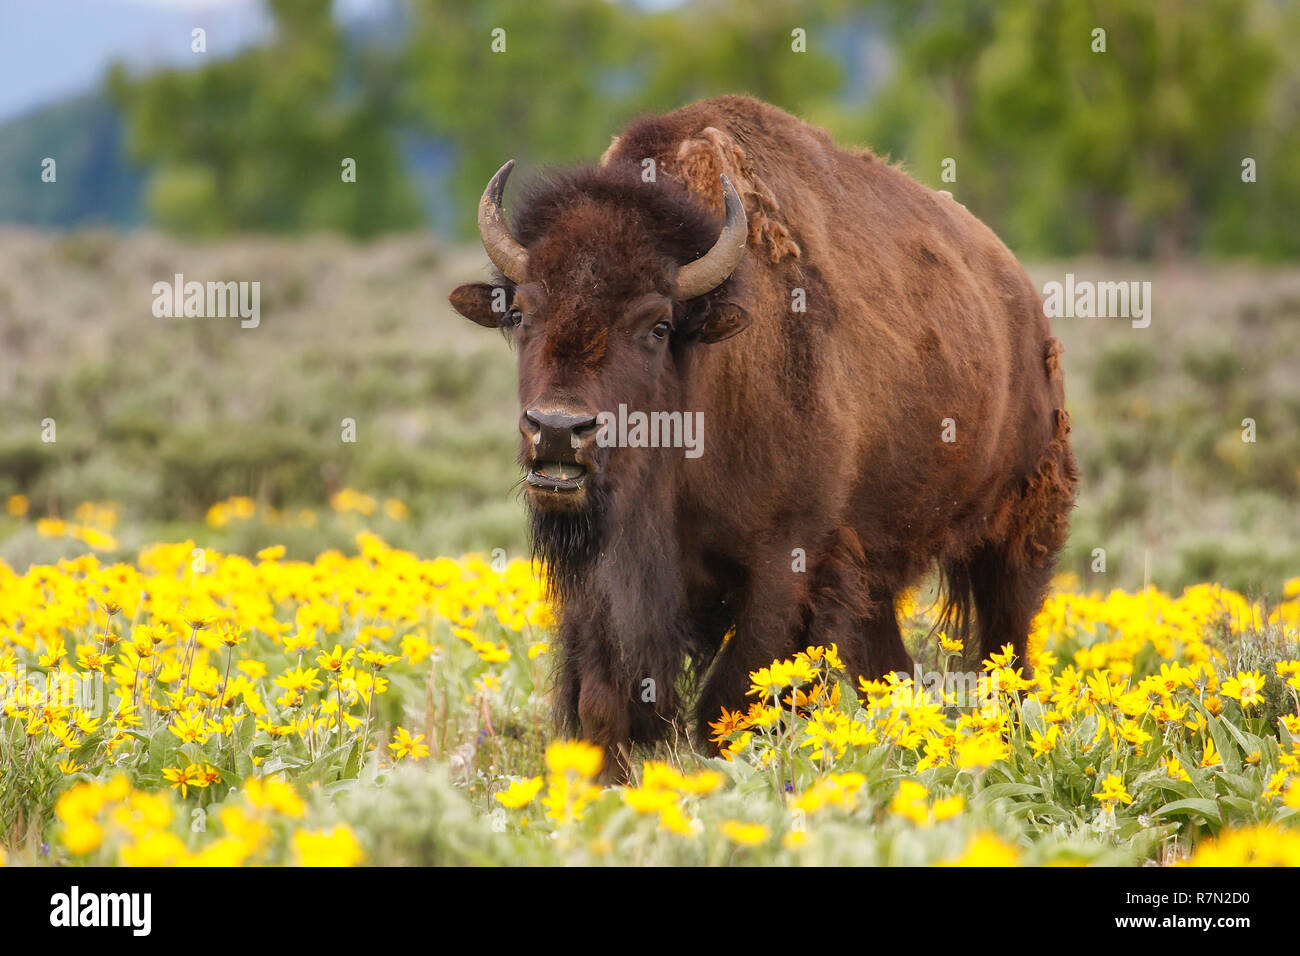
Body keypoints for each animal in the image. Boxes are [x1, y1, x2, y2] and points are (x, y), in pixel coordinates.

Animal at [448, 95, 1078, 775]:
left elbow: (728, 706)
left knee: (1008, 654)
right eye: (520, 312)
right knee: (893, 670)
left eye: (659, 326)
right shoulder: (605, 585)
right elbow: (602, 707)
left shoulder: (785, 569)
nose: (560, 429)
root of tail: (1026, 309)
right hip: (876, 571)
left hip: (1017, 535)